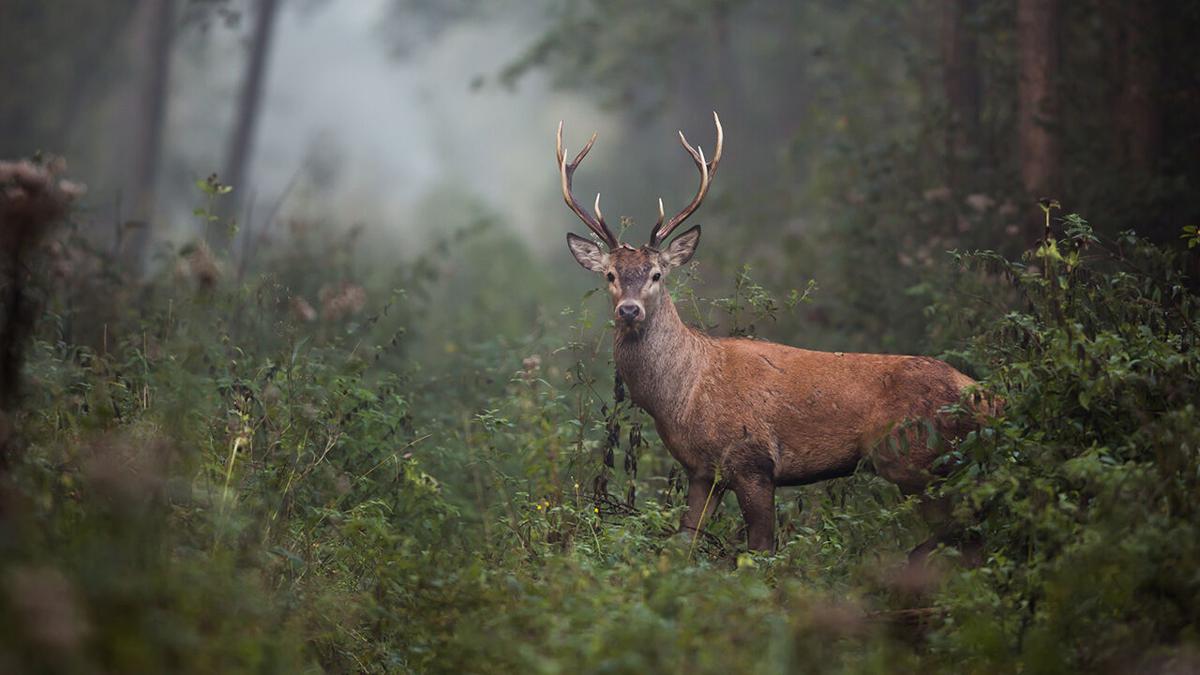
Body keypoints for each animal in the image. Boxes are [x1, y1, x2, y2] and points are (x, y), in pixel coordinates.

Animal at [557, 112, 988, 553]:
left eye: (657, 274)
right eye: (610, 275)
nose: (629, 309)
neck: (682, 397)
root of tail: (982, 394)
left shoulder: (753, 460)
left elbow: (760, 550)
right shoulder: (702, 471)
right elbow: (684, 543)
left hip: (915, 458)